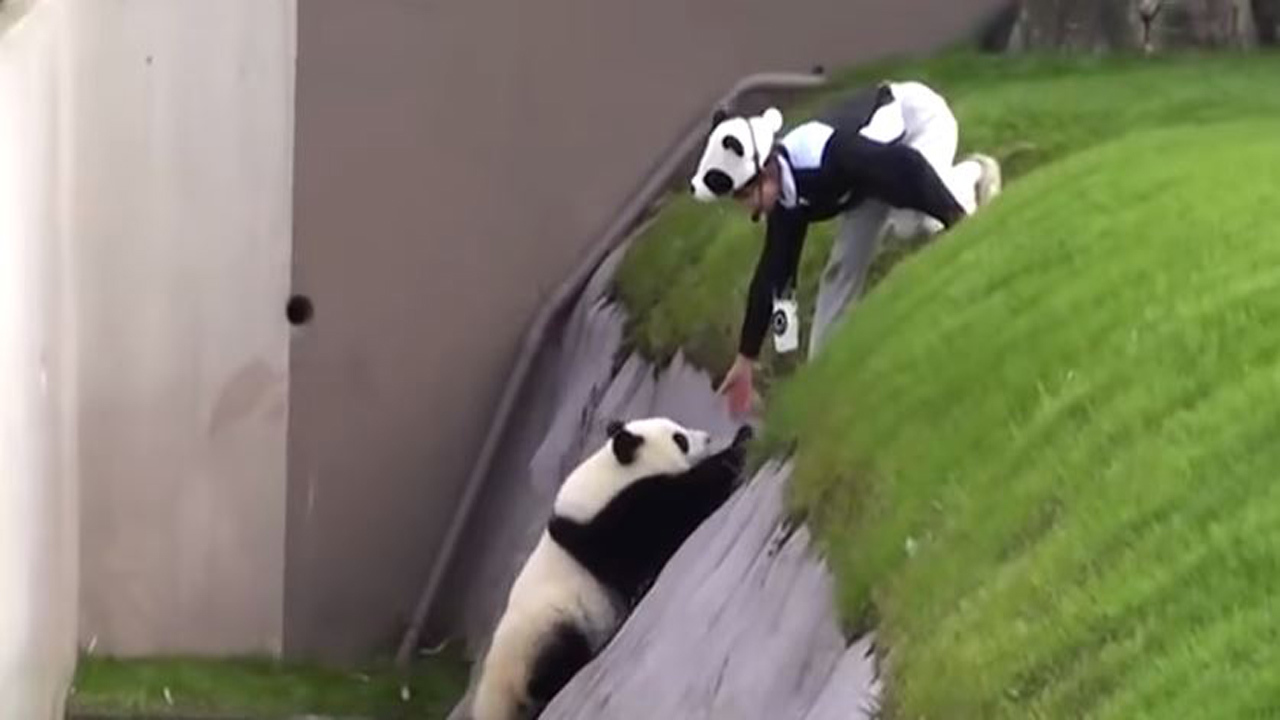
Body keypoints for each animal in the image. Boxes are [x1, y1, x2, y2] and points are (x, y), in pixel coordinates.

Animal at [467, 416, 754, 720]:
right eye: (680, 439)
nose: (708, 438)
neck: (610, 473)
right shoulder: (612, 524)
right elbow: (682, 505)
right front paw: (742, 441)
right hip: (540, 634)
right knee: (555, 662)